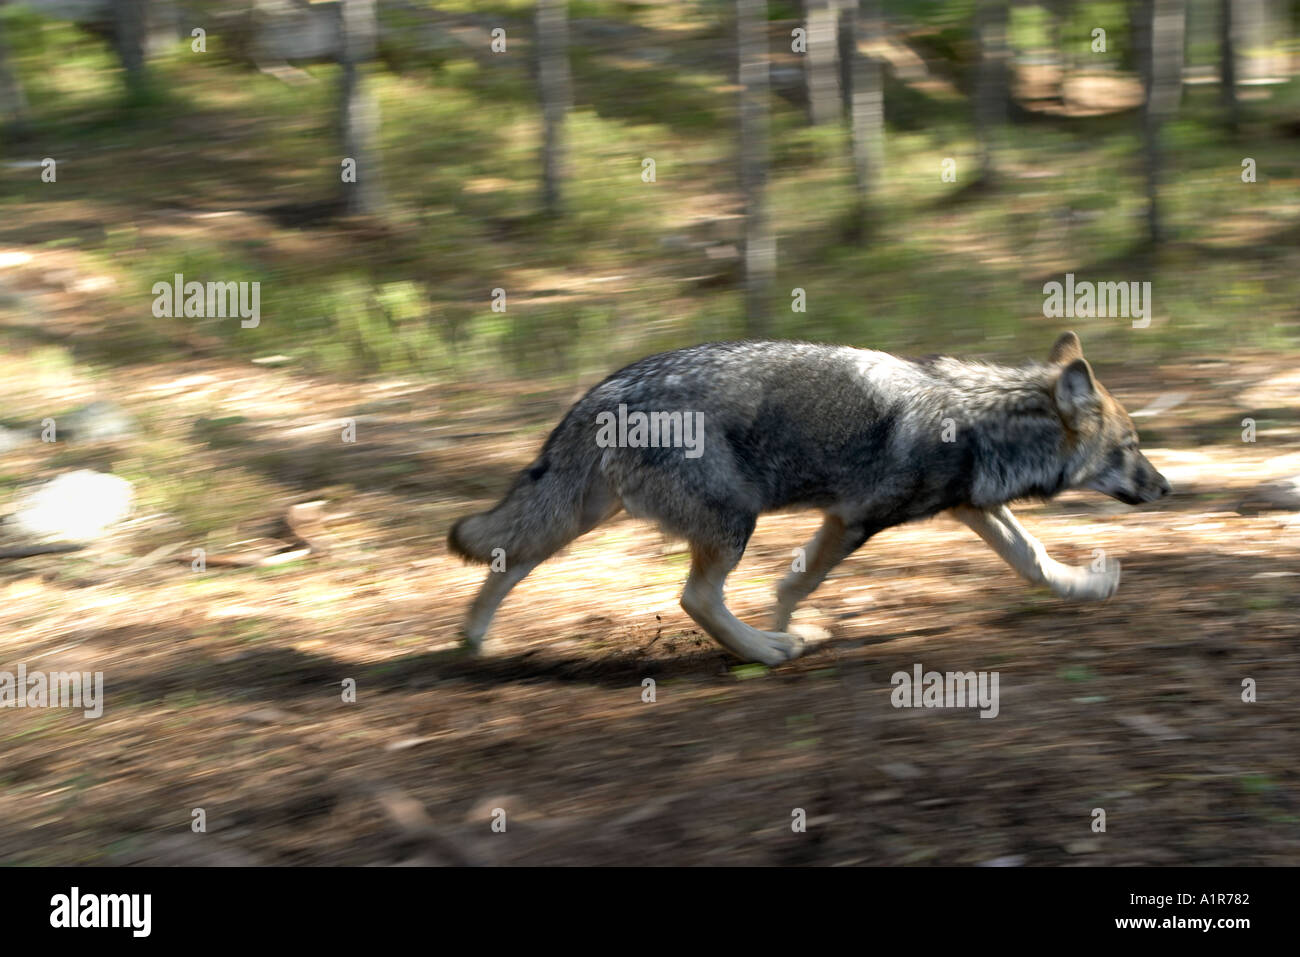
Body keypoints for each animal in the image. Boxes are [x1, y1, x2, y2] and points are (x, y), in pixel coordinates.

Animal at [448, 332, 1169, 665]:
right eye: (1132, 446)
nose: (1168, 487)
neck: (977, 417)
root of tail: (606, 390)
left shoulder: (973, 507)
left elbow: (1036, 560)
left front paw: (1089, 587)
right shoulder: (850, 521)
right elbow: (795, 585)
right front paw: (787, 625)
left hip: (580, 517)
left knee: (507, 560)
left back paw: (475, 642)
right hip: (733, 522)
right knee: (696, 599)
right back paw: (770, 651)